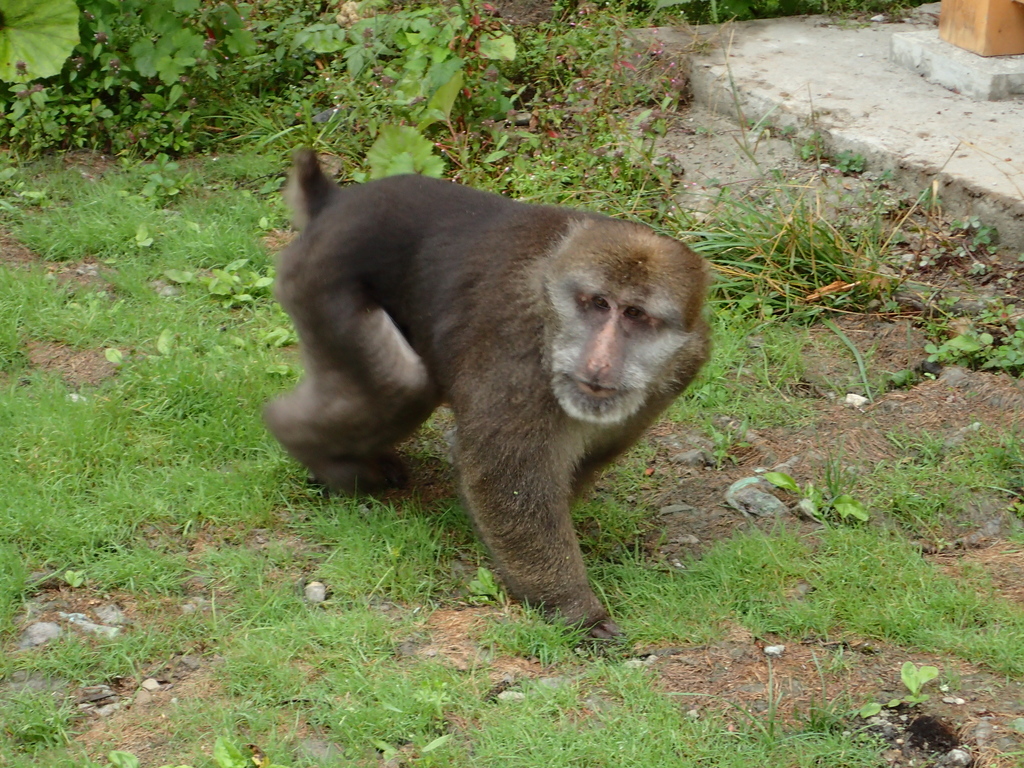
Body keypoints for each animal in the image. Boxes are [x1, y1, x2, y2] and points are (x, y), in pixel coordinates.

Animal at [264, 151, 711, 638]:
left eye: (635, 315)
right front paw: (575, 609)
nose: (599, 362)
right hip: (321, 282)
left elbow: (584, 463)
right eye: (597, 304)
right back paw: (311, 448)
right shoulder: (518, 357)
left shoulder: (677, 372)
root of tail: (334, 203)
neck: (551, 314)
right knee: (401, 386)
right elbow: (506, 482)